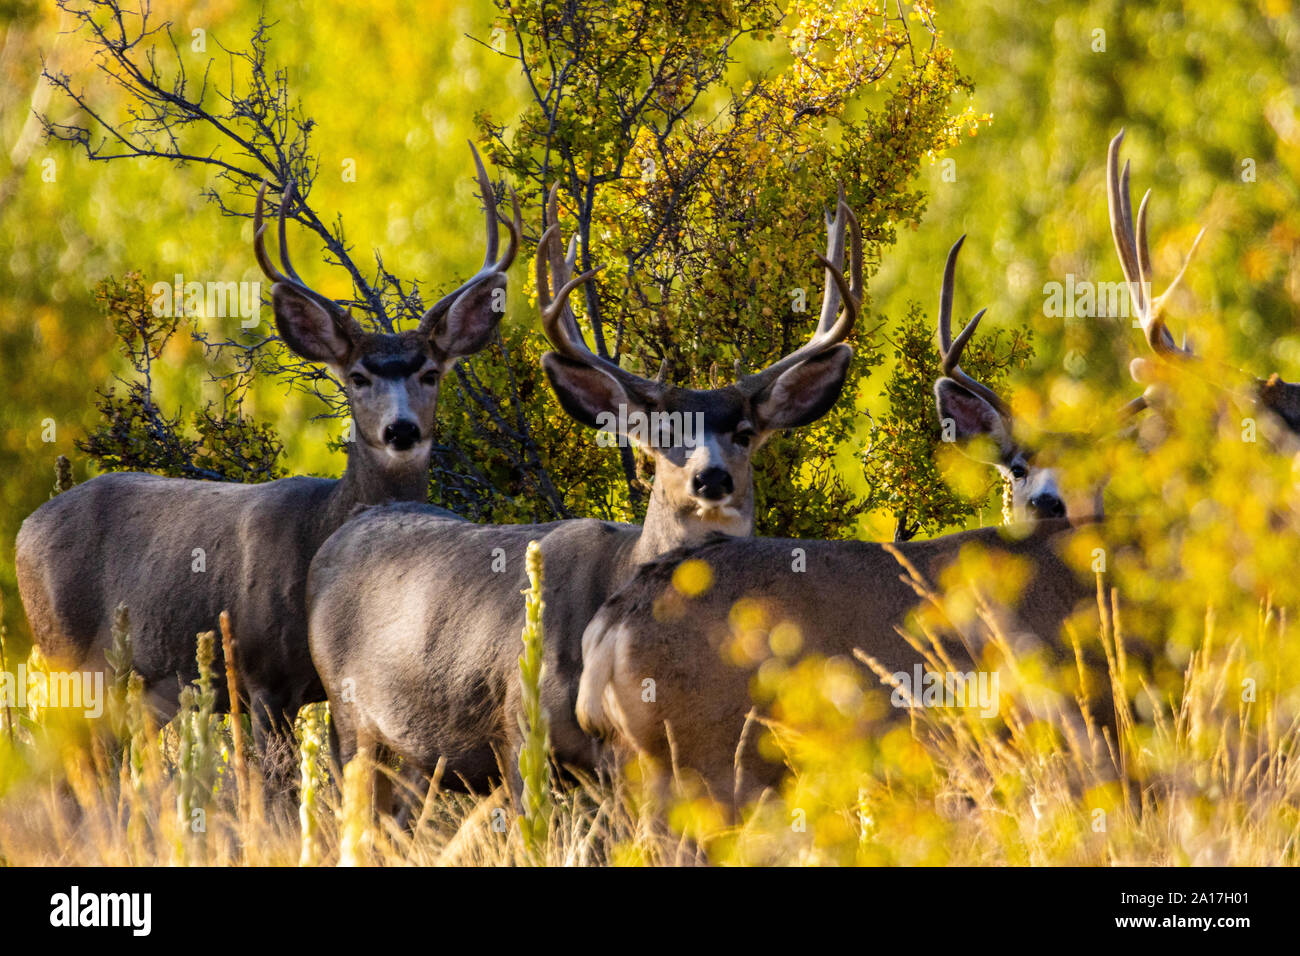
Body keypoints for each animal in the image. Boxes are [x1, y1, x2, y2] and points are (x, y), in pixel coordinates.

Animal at [14, 144, 521, 793]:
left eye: (431, 373)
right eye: (358, 376)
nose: (401, 430)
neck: (321, 523)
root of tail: (27, 527)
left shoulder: (329, 687)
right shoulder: (260, 674)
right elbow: (276, 789)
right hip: (67, 657)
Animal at [305, 186, 865, 804]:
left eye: (744, 433)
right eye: (660, 436)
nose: (711, 479)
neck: (618, 575)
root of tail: (350, 527)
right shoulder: (519, 727)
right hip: (349, 718)